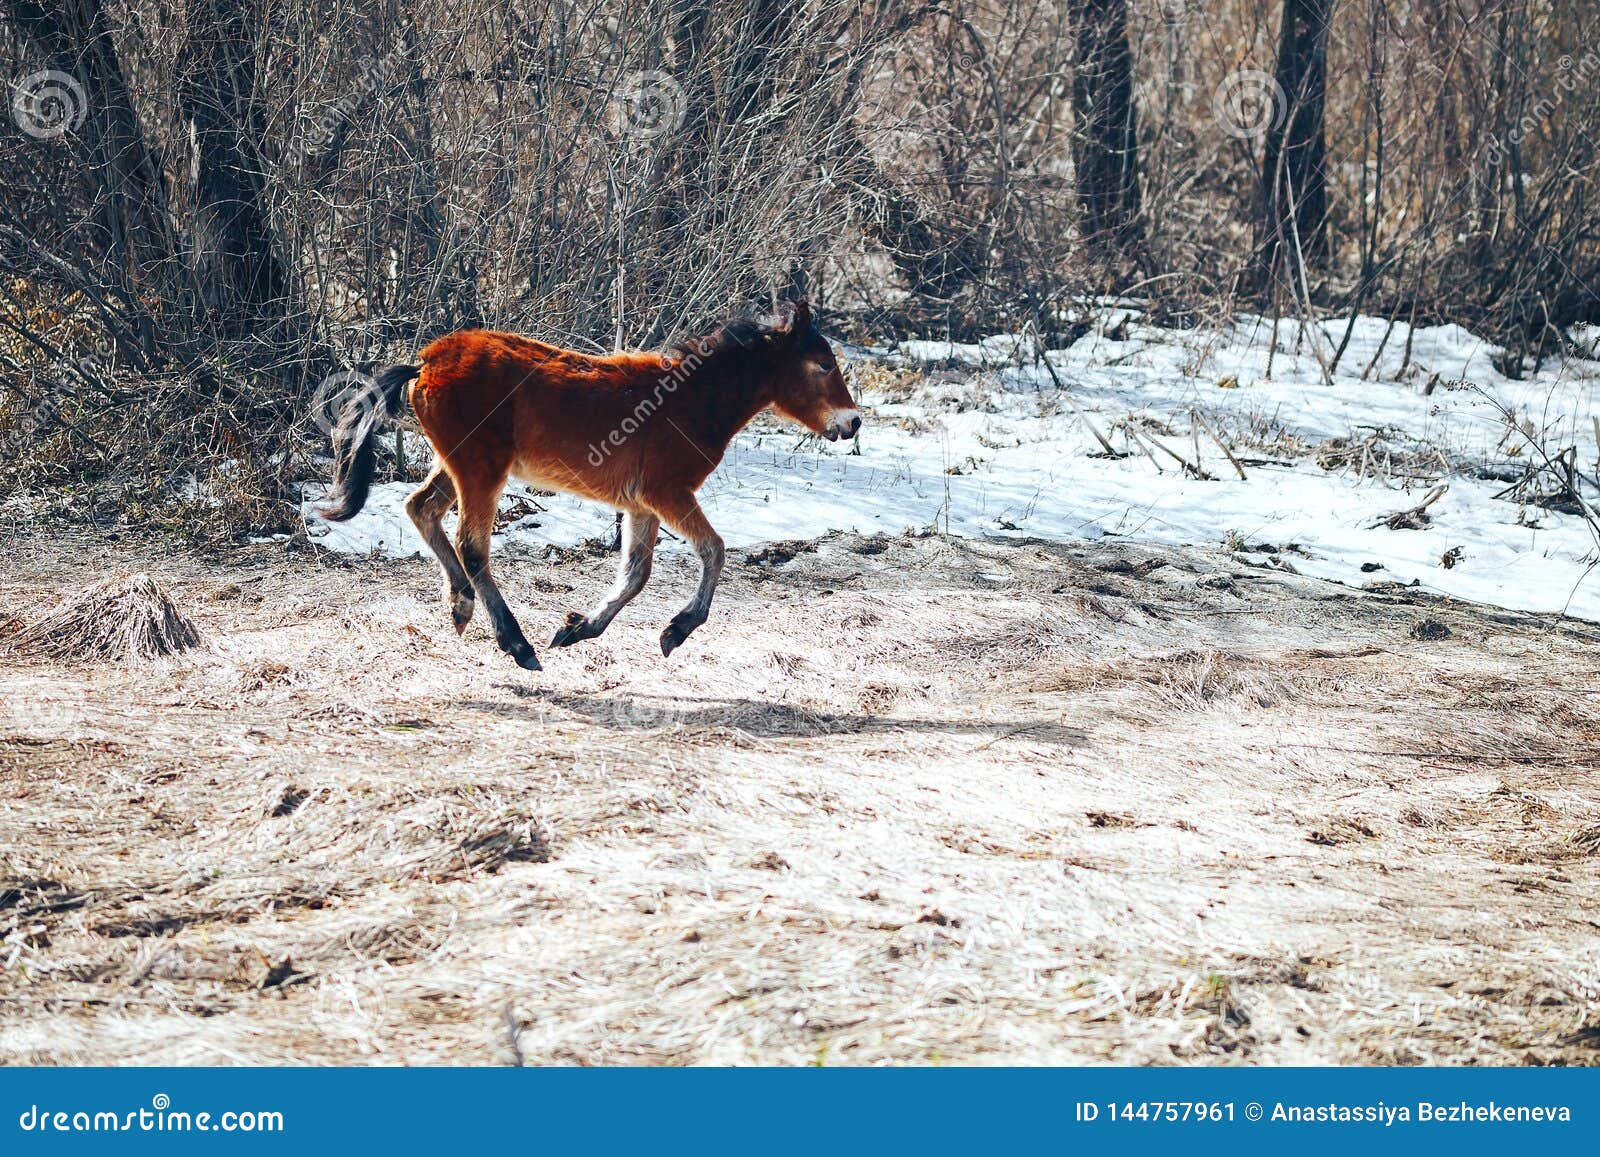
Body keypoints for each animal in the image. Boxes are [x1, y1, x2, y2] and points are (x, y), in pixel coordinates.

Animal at [315, 299, 860, 672]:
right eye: (823, 364)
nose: (853, 422)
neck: (687, 399)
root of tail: (427, 361)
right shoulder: (668, 493)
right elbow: (714, 550)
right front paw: (677, 630)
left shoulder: (642, 505)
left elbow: (636, 573)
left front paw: (578, 630)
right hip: (481, 470)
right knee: (471, 546)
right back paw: (517, 644)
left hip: (460, 466)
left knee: (422, 509)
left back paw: (461, 605)